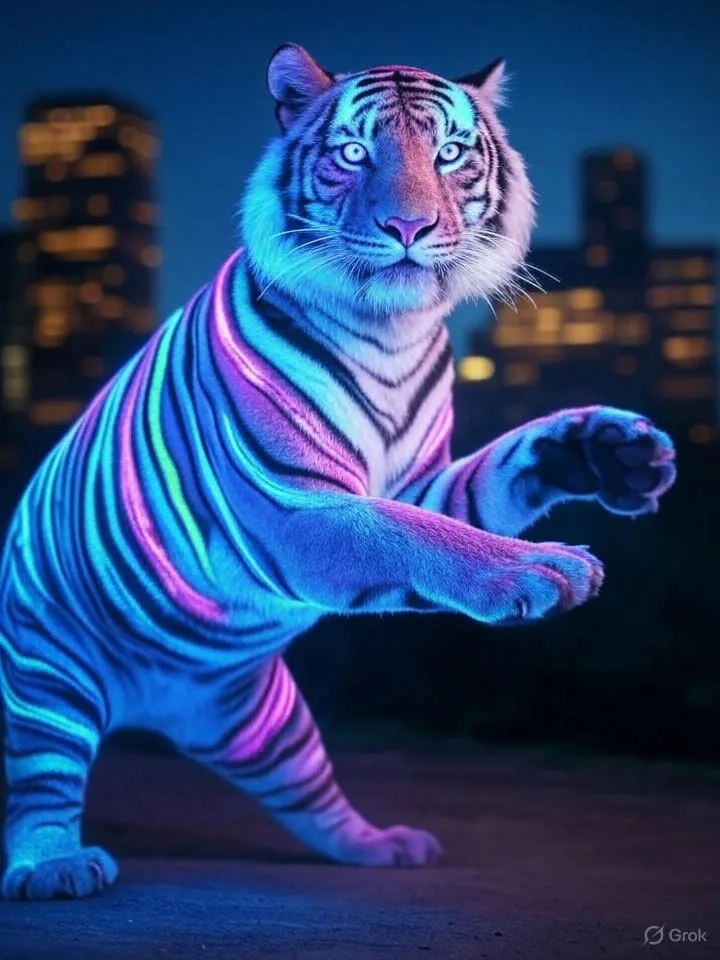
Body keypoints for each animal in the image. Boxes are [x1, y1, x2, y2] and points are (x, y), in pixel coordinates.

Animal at [0, 43, 676, 900]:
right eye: (354, 154)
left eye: (448, 154)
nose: (409, 227)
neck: (391, 330)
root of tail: (145, 707)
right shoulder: (291, 509)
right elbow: (413, 537)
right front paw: (545, 569)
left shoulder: (423, 482)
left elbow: (488, 481)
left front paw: (612, 451)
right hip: (47, 678)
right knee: (42, 780)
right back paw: (54, 865)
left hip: (273, 727)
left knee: (314, 798)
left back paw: (383, 846)